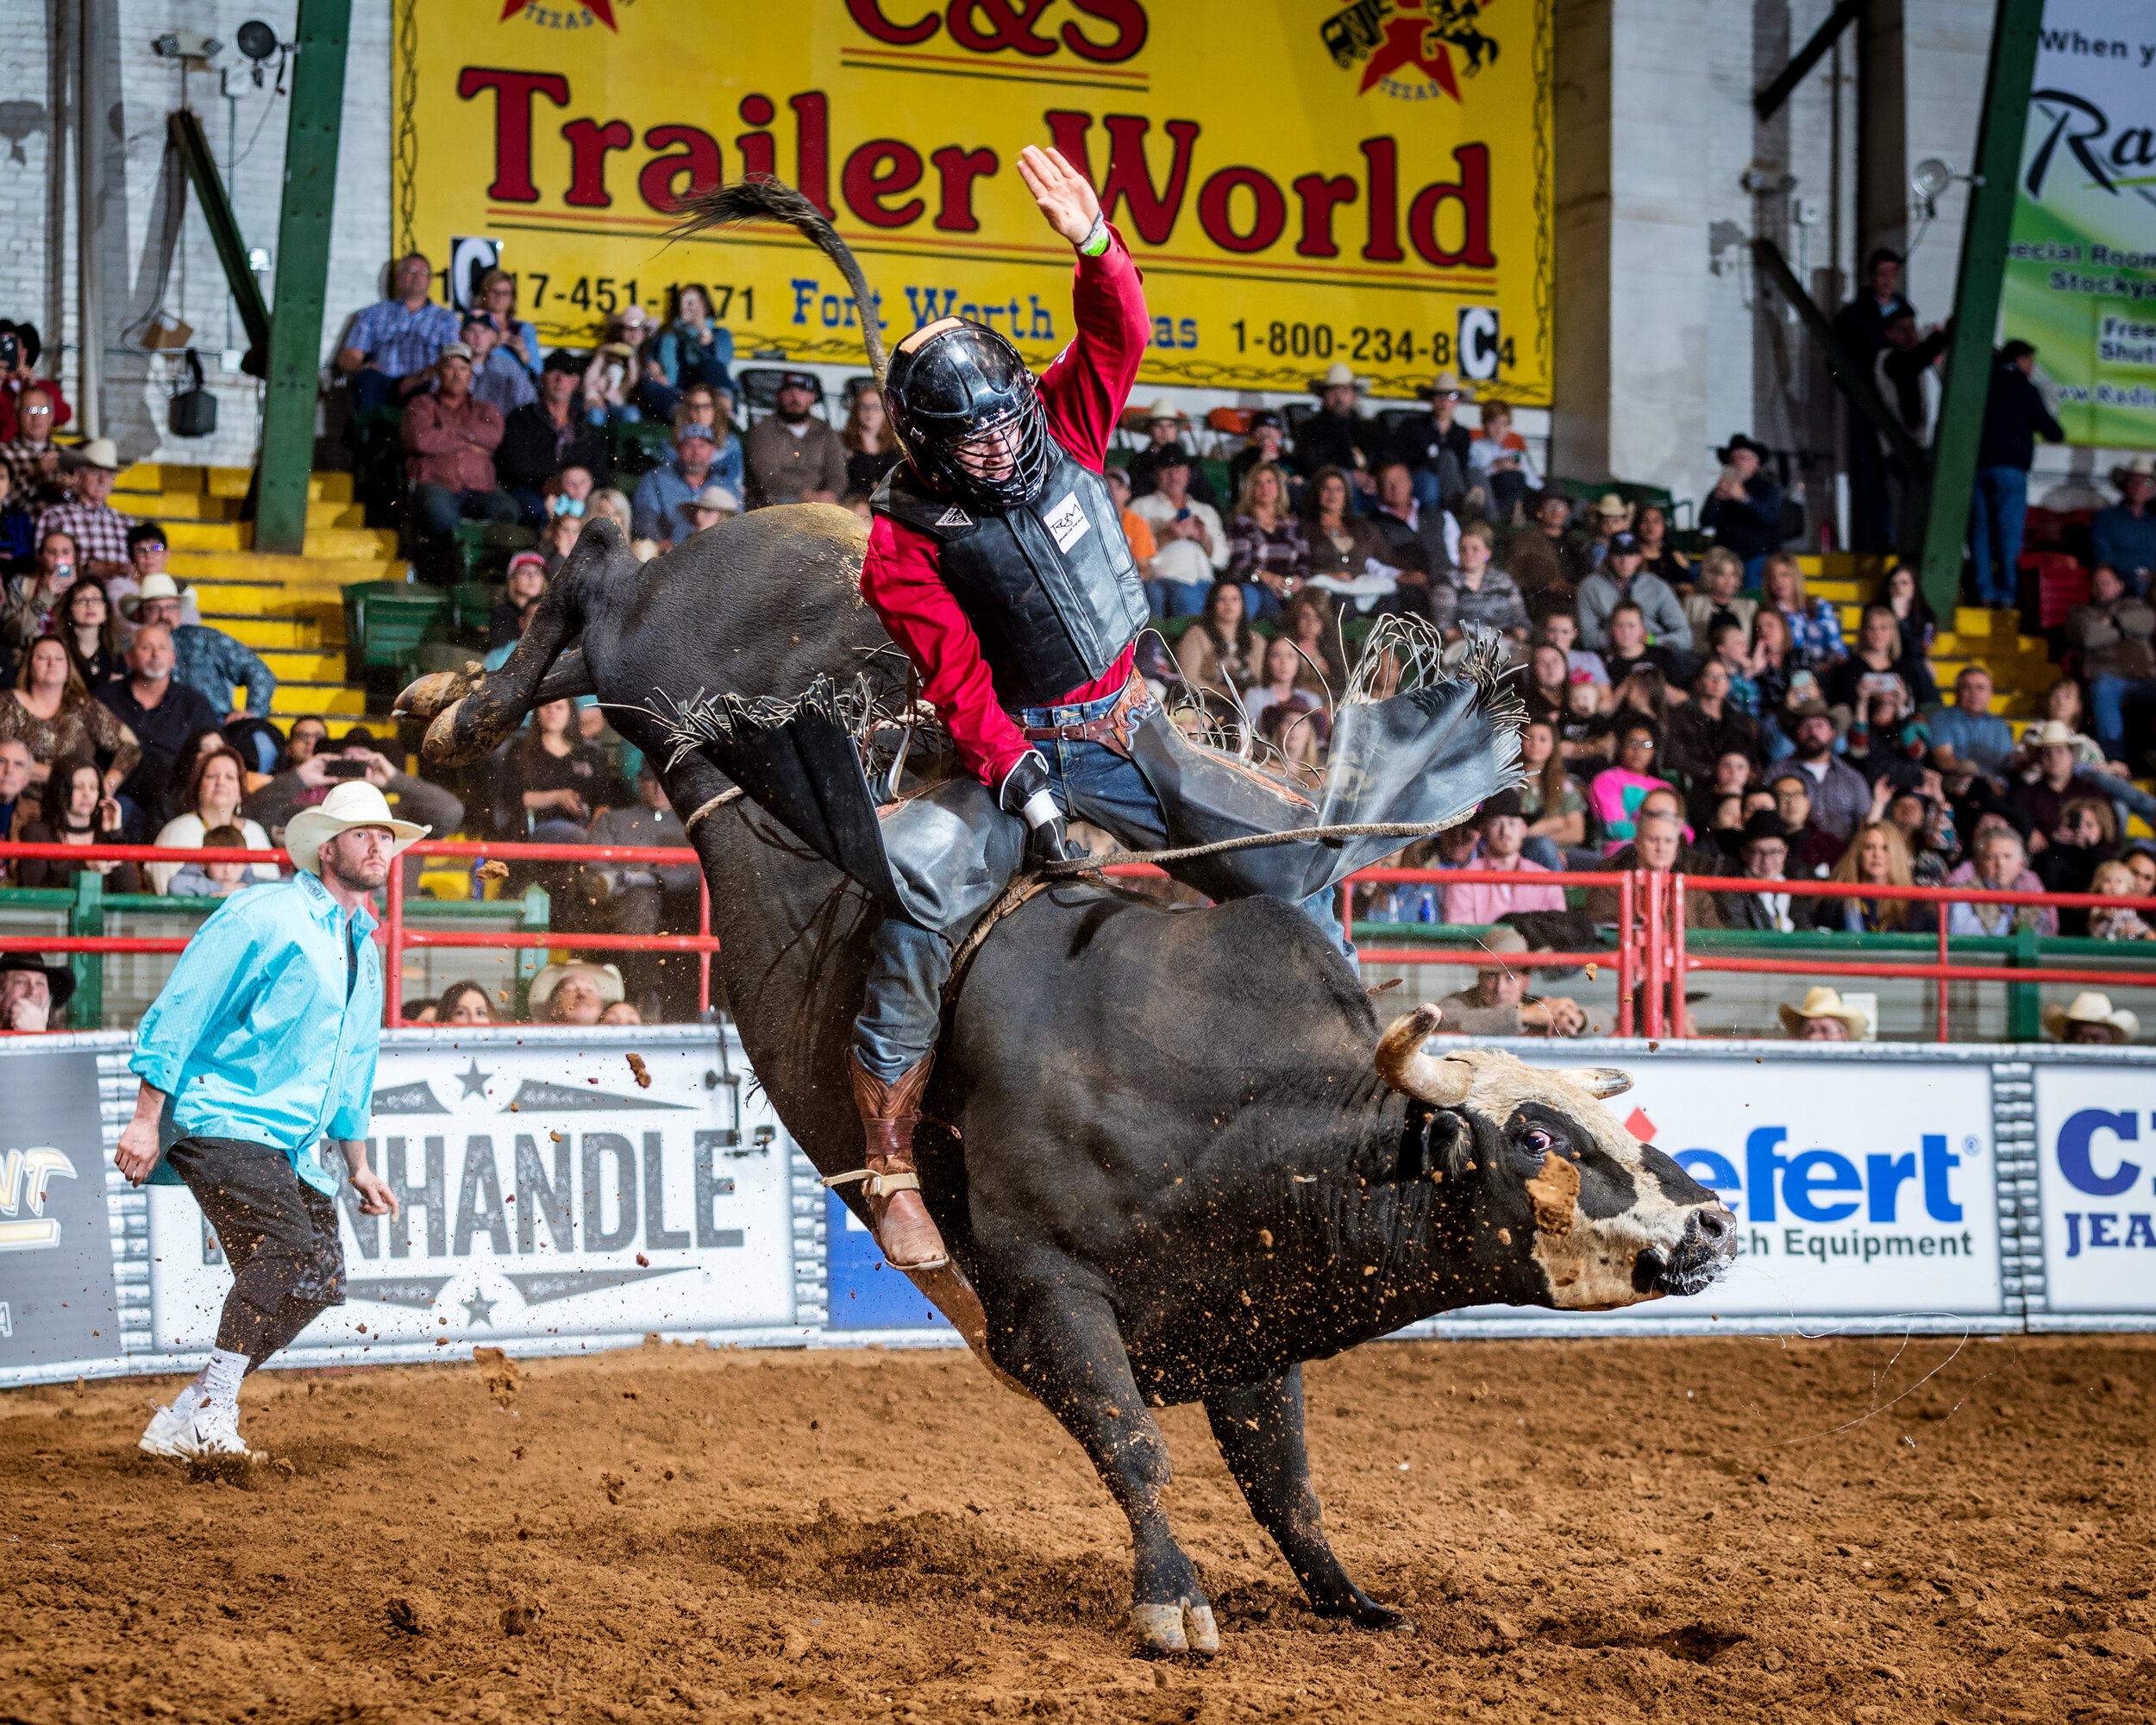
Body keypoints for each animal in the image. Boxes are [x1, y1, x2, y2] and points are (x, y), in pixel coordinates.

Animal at [402, 493, 1734, 1657]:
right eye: (1538, 1140)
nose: (1715, 1217)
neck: (1236, 1119)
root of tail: (820, 526)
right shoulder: (1048, 1299)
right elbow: (1134, 1443)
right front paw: (1173, 1603)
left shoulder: (1249, 1319)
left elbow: (1287, 1483)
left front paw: (1354, 1602)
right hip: (657, 660)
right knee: (590, 577)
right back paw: (459, 717)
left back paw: (443, 695)